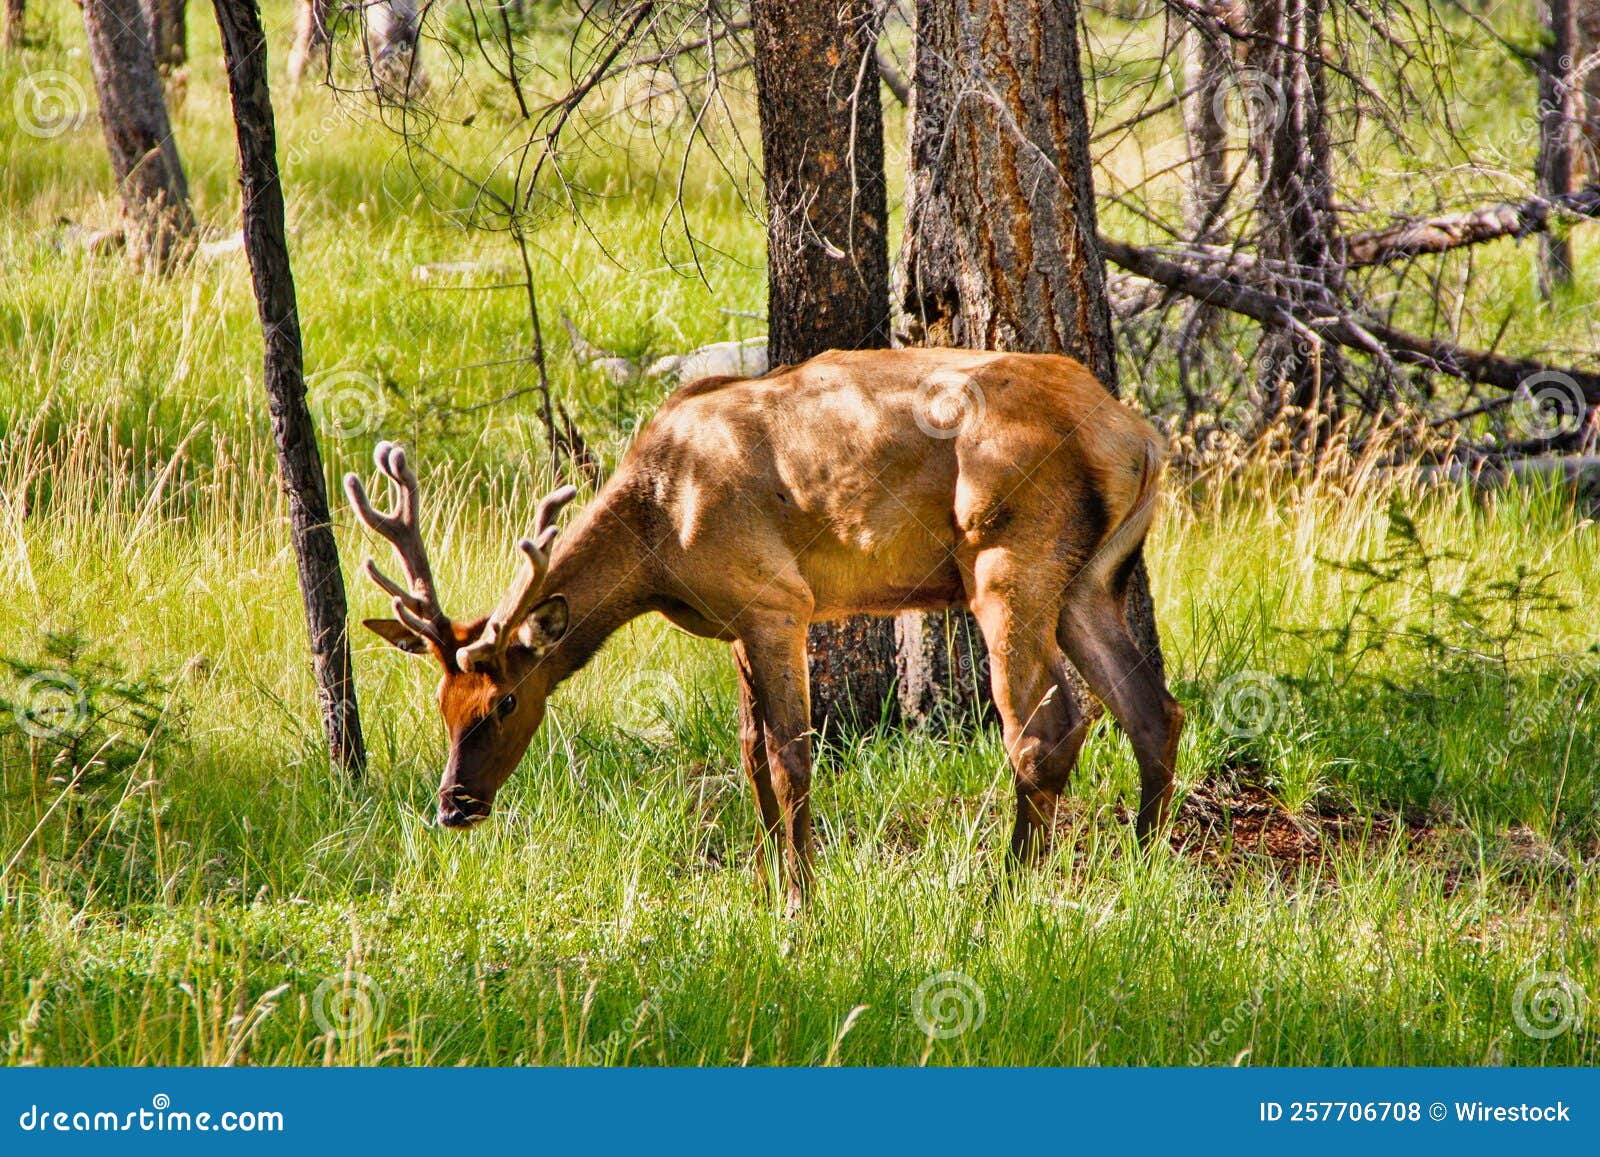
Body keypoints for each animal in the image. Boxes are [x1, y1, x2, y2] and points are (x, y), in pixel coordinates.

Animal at [347, 348, 1184, 913]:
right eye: (442, 705)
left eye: (505, 701)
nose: (454, 803)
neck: (659, 536)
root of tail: (1138, 438)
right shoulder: (736, 624)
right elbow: (749, 755)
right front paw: (765, 889)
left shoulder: (776, 599)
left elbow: (789, 759)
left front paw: (802, 906)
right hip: (1089, 581)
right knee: (1153, 709)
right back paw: (1143, 866)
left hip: (1008, 559)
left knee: (1044, 729)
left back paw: (1003, 895)